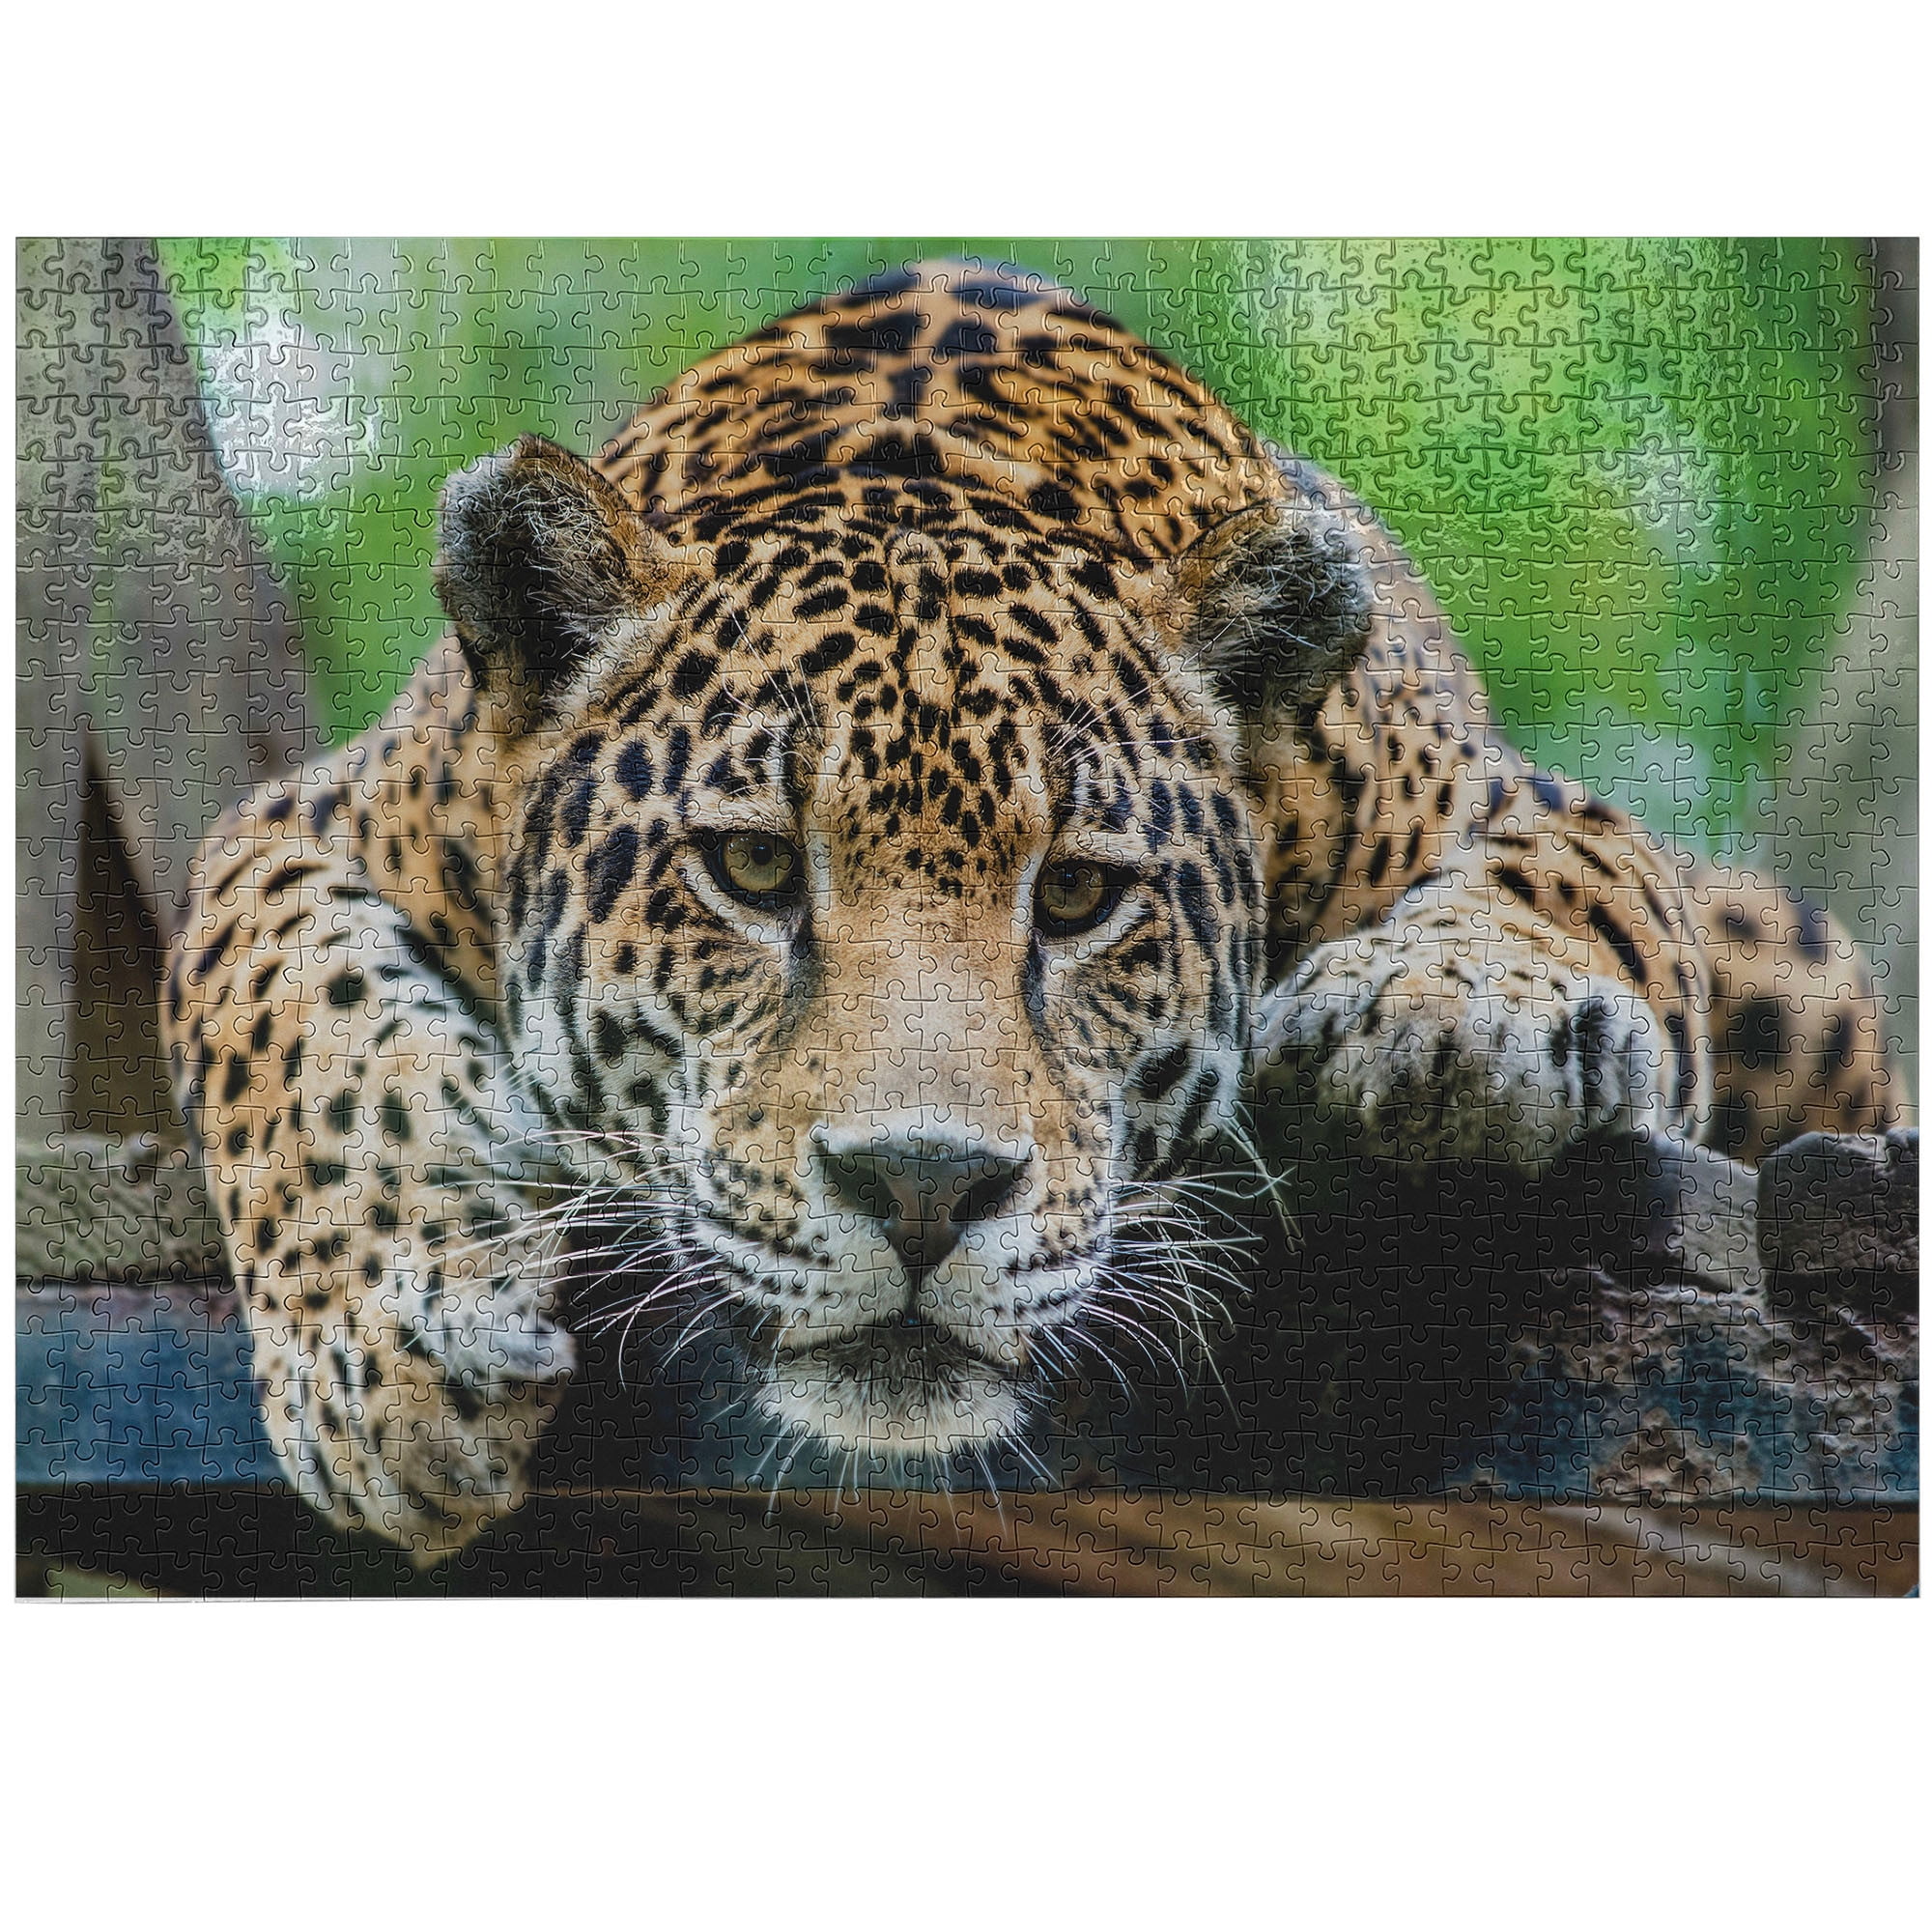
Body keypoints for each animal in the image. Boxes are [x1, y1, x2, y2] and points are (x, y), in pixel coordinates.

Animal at [164, 260, 1901, 1559]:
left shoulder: (1531, 808)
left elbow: (1569, 889)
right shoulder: (306, 821)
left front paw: (1448, 1012)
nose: (923, 1190)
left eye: (1077, 896)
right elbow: (293, 1021)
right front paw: (389, 1358)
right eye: (752, 870)